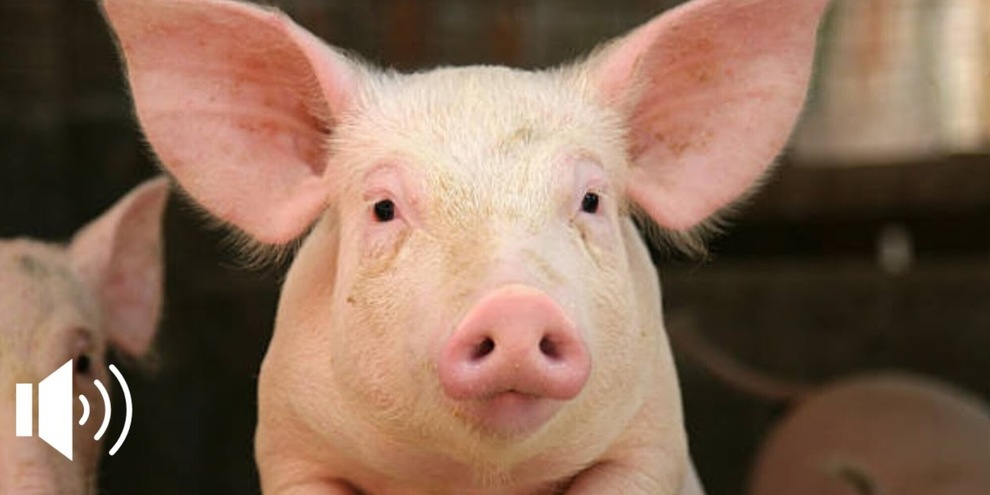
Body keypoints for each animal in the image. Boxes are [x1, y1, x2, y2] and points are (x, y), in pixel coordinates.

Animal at [99, 0, 829, 493]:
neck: (478, 478)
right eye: (384, 208)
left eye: (591, 200)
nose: (515, 307)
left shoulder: (649, 437)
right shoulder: (291, 445)